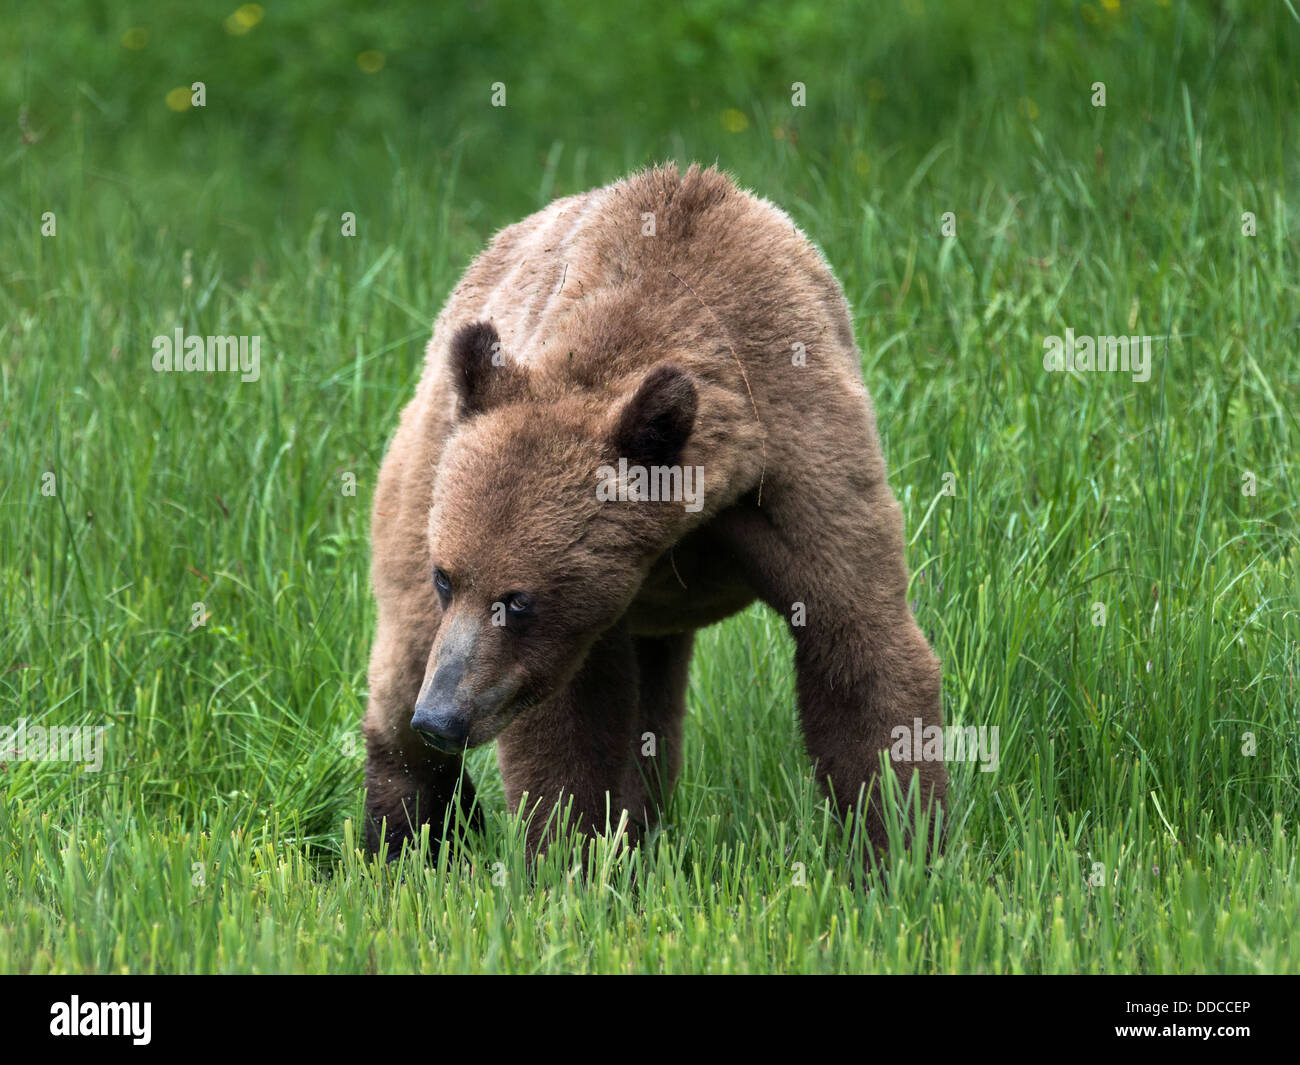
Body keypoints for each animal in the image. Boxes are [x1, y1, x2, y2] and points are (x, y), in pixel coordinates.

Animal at [362, 163, 947, 862]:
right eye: (447, 578)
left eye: (519, 600)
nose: (443, 716)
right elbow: (571, 728)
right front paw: (567, 858)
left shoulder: (799, 467)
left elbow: (860, 647)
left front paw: (905, 850)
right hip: (425, 461)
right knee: (402, 663)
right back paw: (402, 836)